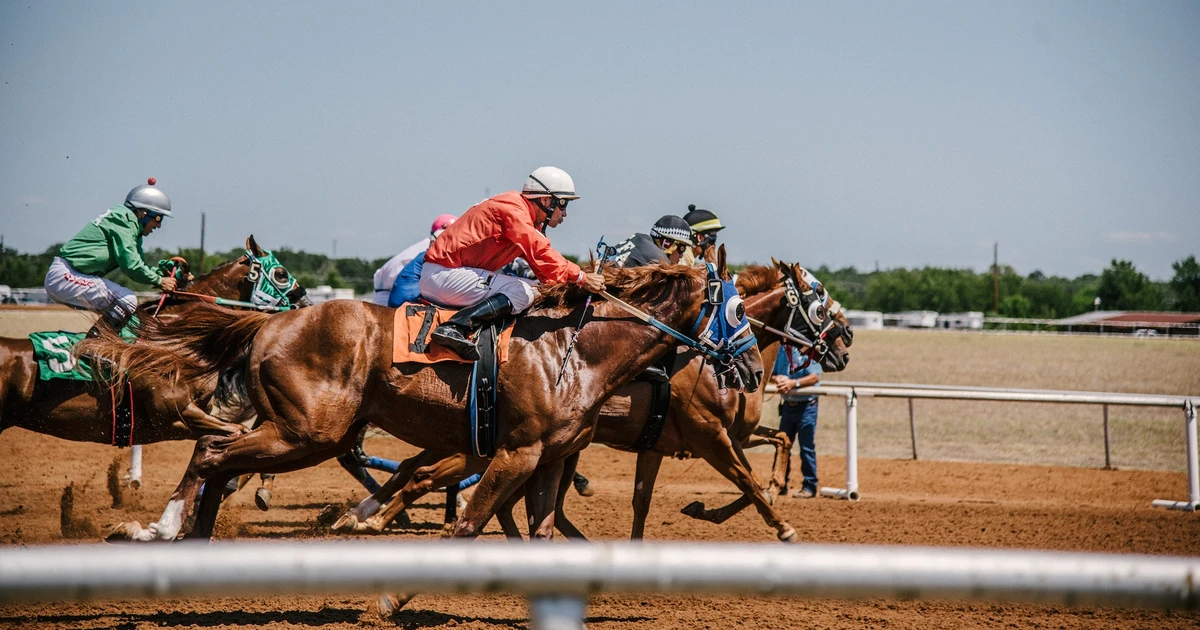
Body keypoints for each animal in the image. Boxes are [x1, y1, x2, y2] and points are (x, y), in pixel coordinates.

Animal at [82, 245, 763, 546]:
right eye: (737, 310)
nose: (756, 370)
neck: (574, 351)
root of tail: (271, 322)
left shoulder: (546, 459)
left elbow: (540, 529)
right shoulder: (514, 452)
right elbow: (464, 522)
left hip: (300, 430)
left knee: (219, 458)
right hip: (309, 431)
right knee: (215, 455)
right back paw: (167, 528)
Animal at [330, 261, 851, 542]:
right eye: (819, 301)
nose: (845, 345)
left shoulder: (671, 443)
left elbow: (773, 445)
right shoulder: (709, 434)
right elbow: (749, 482)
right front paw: (779, 525)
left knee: (426, 473)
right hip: (486, 444)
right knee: (427, 476)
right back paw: (369, 518)